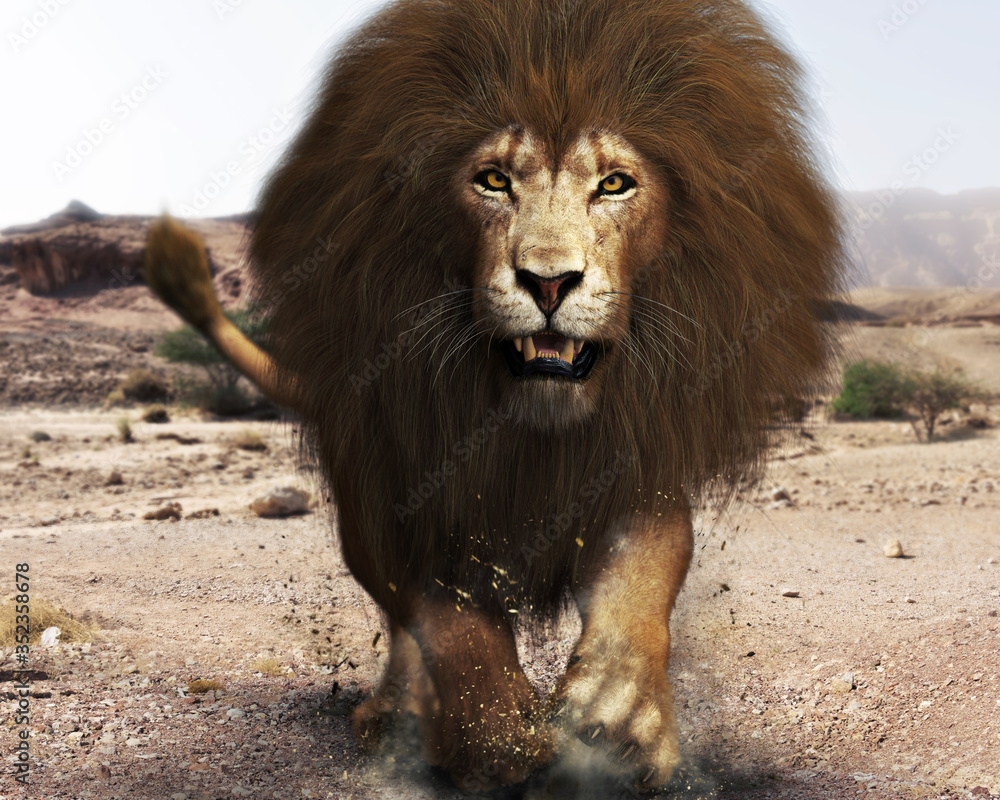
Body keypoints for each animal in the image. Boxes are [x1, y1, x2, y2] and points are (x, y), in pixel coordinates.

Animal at [145, 0, 844, 791]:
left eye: (614, 184)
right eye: (492, 180)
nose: (549, 281)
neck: (525, 425)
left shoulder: (635, 463)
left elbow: (643, 571)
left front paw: (617, 715)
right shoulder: (393, 485)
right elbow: (442, 613)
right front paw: (499, 733)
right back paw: (401, 714)